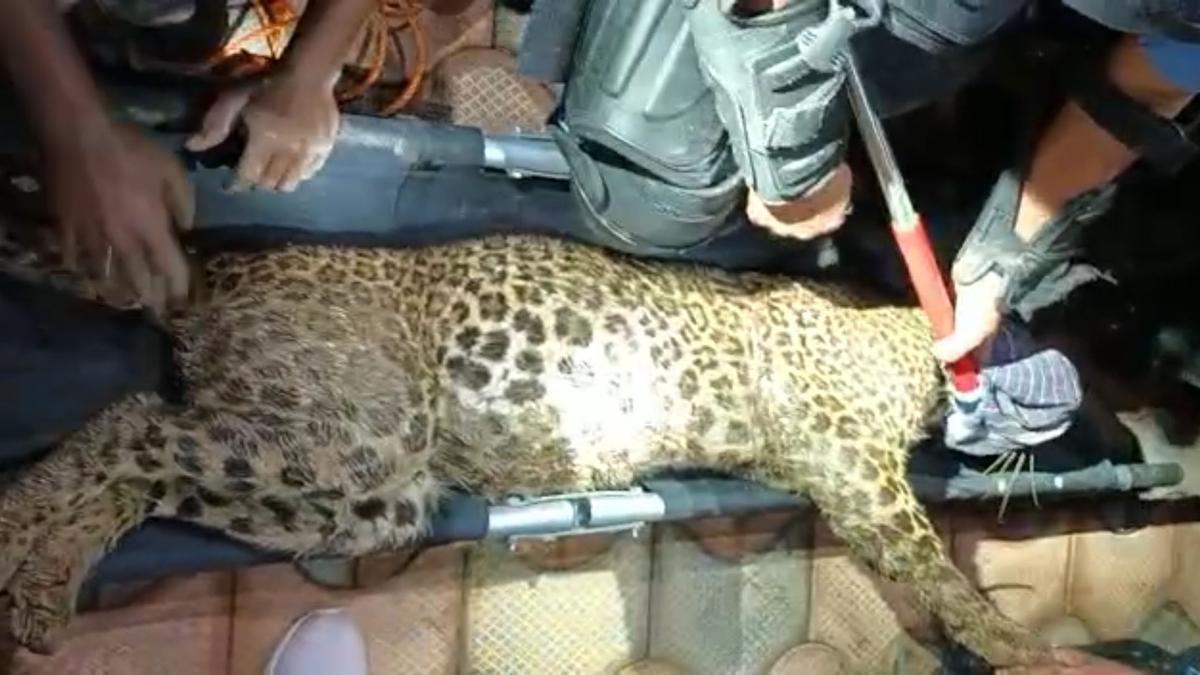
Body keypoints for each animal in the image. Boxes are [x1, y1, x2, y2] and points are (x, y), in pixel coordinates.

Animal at [0, 222, 1058, 670]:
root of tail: (214, 264)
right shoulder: (856, 463)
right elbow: (937, 568)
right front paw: (1017, 644)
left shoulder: (836, 474)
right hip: (353, 436)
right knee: (133, 423)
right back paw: (18, 540)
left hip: (361, 498)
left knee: (138, 462)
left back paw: (38, 590)